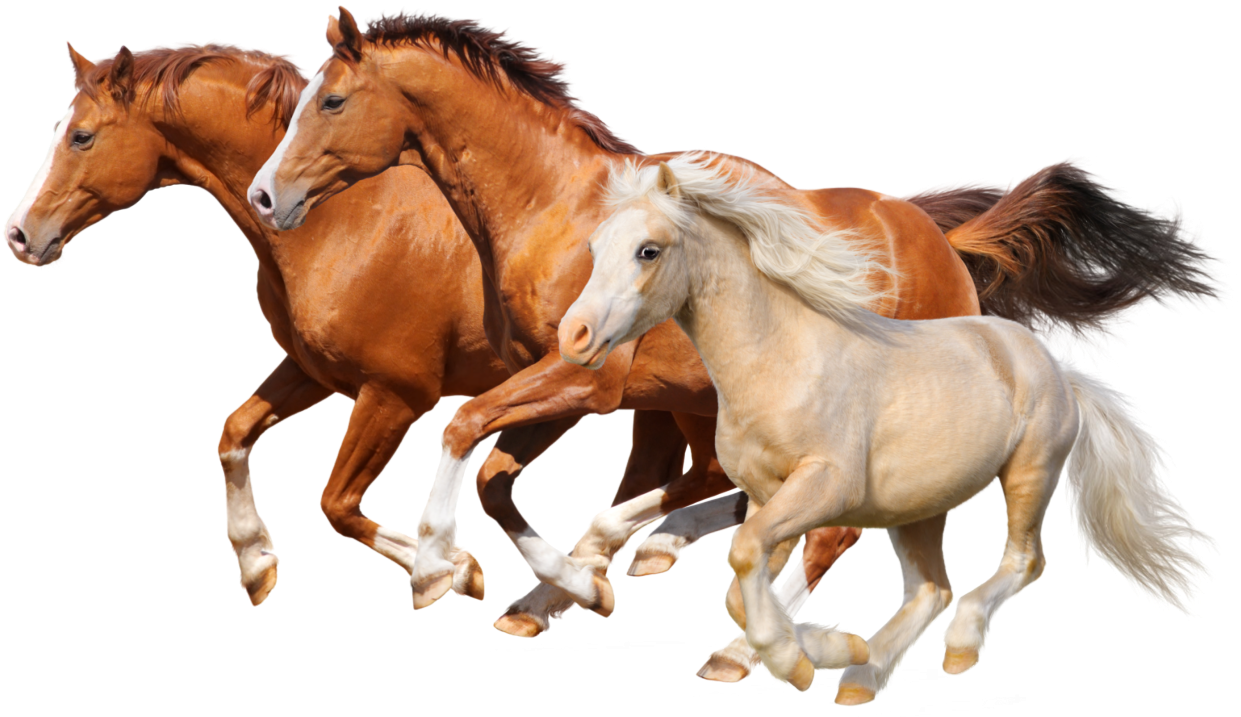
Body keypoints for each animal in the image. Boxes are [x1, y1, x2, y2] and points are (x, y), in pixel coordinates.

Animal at [558, 157, 1228, 704]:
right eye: (593, 244)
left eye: (649, 250)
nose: (575, 337)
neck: (782, 361)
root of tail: (1050, 363)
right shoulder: (768, 496)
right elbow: (738, 585)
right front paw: (813, 652)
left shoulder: (823, 486)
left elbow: (745, 556)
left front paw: (794, 662)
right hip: (918, 509)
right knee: (932, 588)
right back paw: (862, 673)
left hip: (1029, 472)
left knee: (1021, 562)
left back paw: (956, 649)